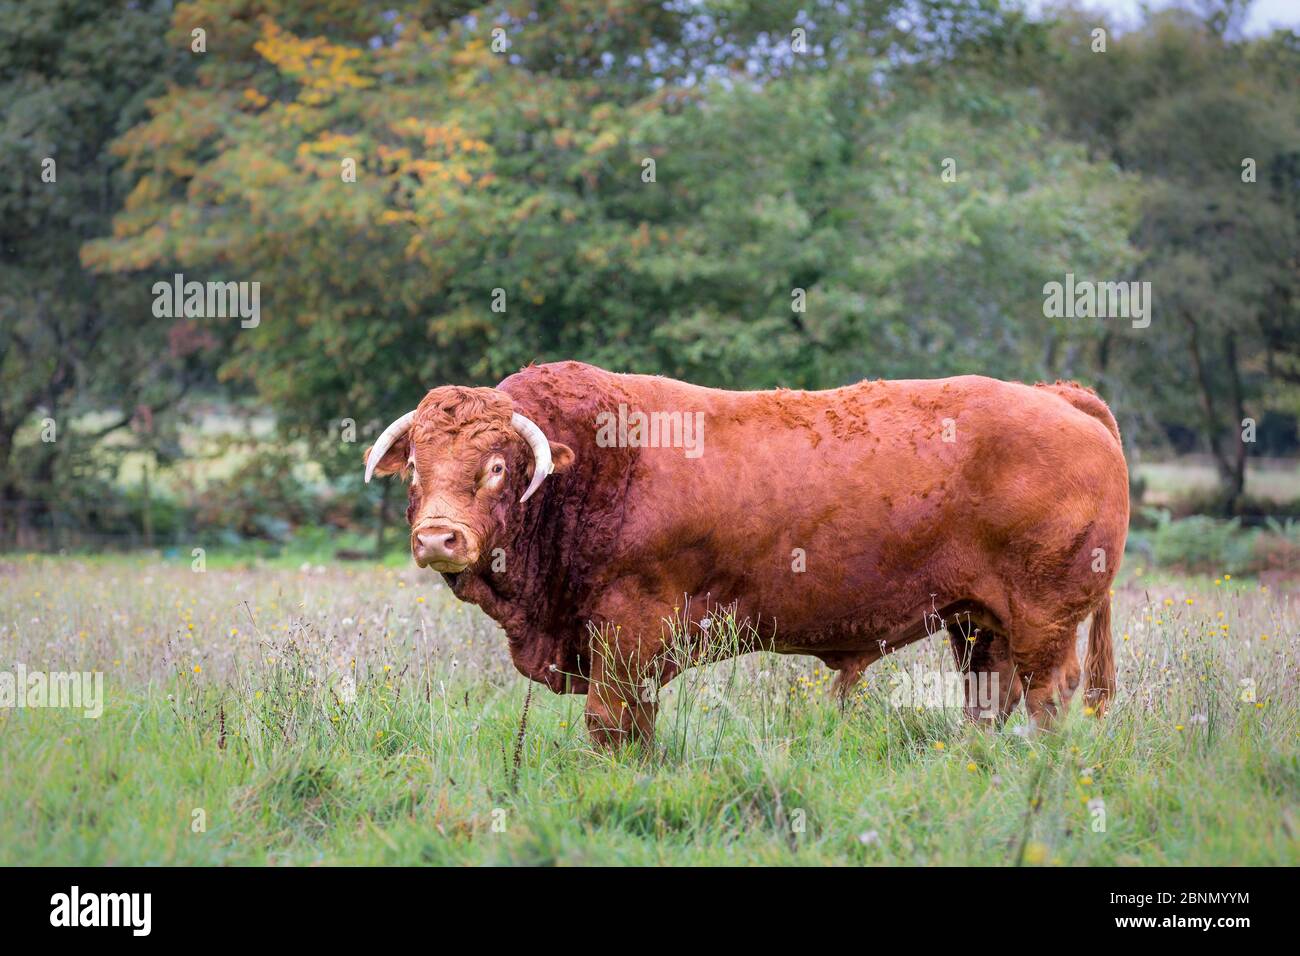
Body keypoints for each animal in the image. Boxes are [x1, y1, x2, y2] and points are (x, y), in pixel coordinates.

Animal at [364, 360, 1128, 748]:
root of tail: (1057, 396)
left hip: (1042, 621)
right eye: (416, 467)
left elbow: (612, 723)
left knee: (1049, 696)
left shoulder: (626, 631)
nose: (438, 538)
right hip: (975, 621)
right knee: (988, 697)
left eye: (496, 467)